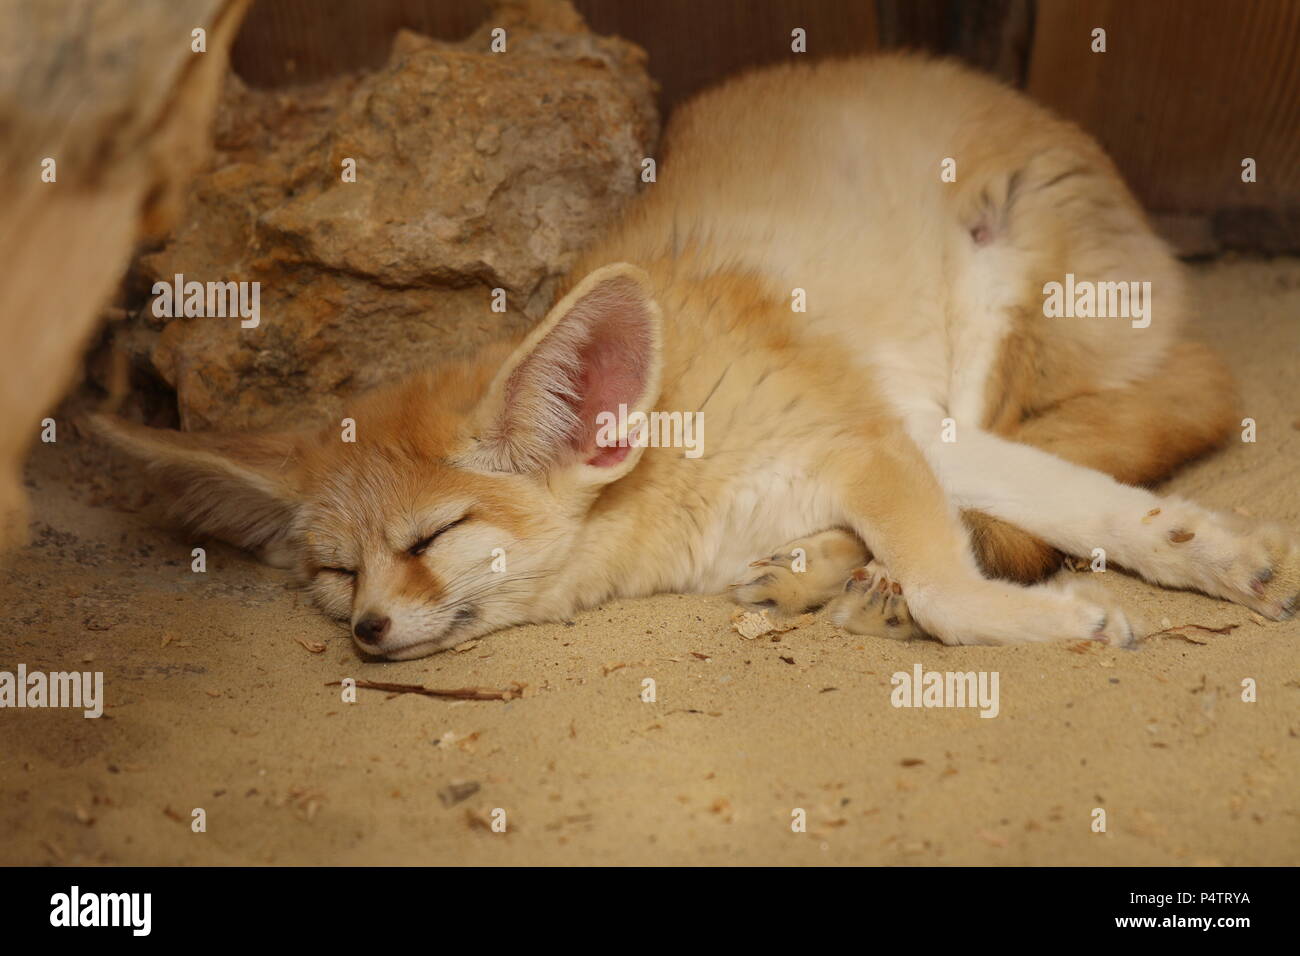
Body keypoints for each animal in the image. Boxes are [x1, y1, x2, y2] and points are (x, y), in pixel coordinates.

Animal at [91, 54, 1299, 660]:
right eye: (334, 573)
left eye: (434, 537)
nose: (367, 629)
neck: (668, 485)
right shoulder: (887, 443)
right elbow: (984, 533)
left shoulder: (880, 429)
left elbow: (1009, 545)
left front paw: (1179, 567)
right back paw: (823, 569)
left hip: (990, 313)